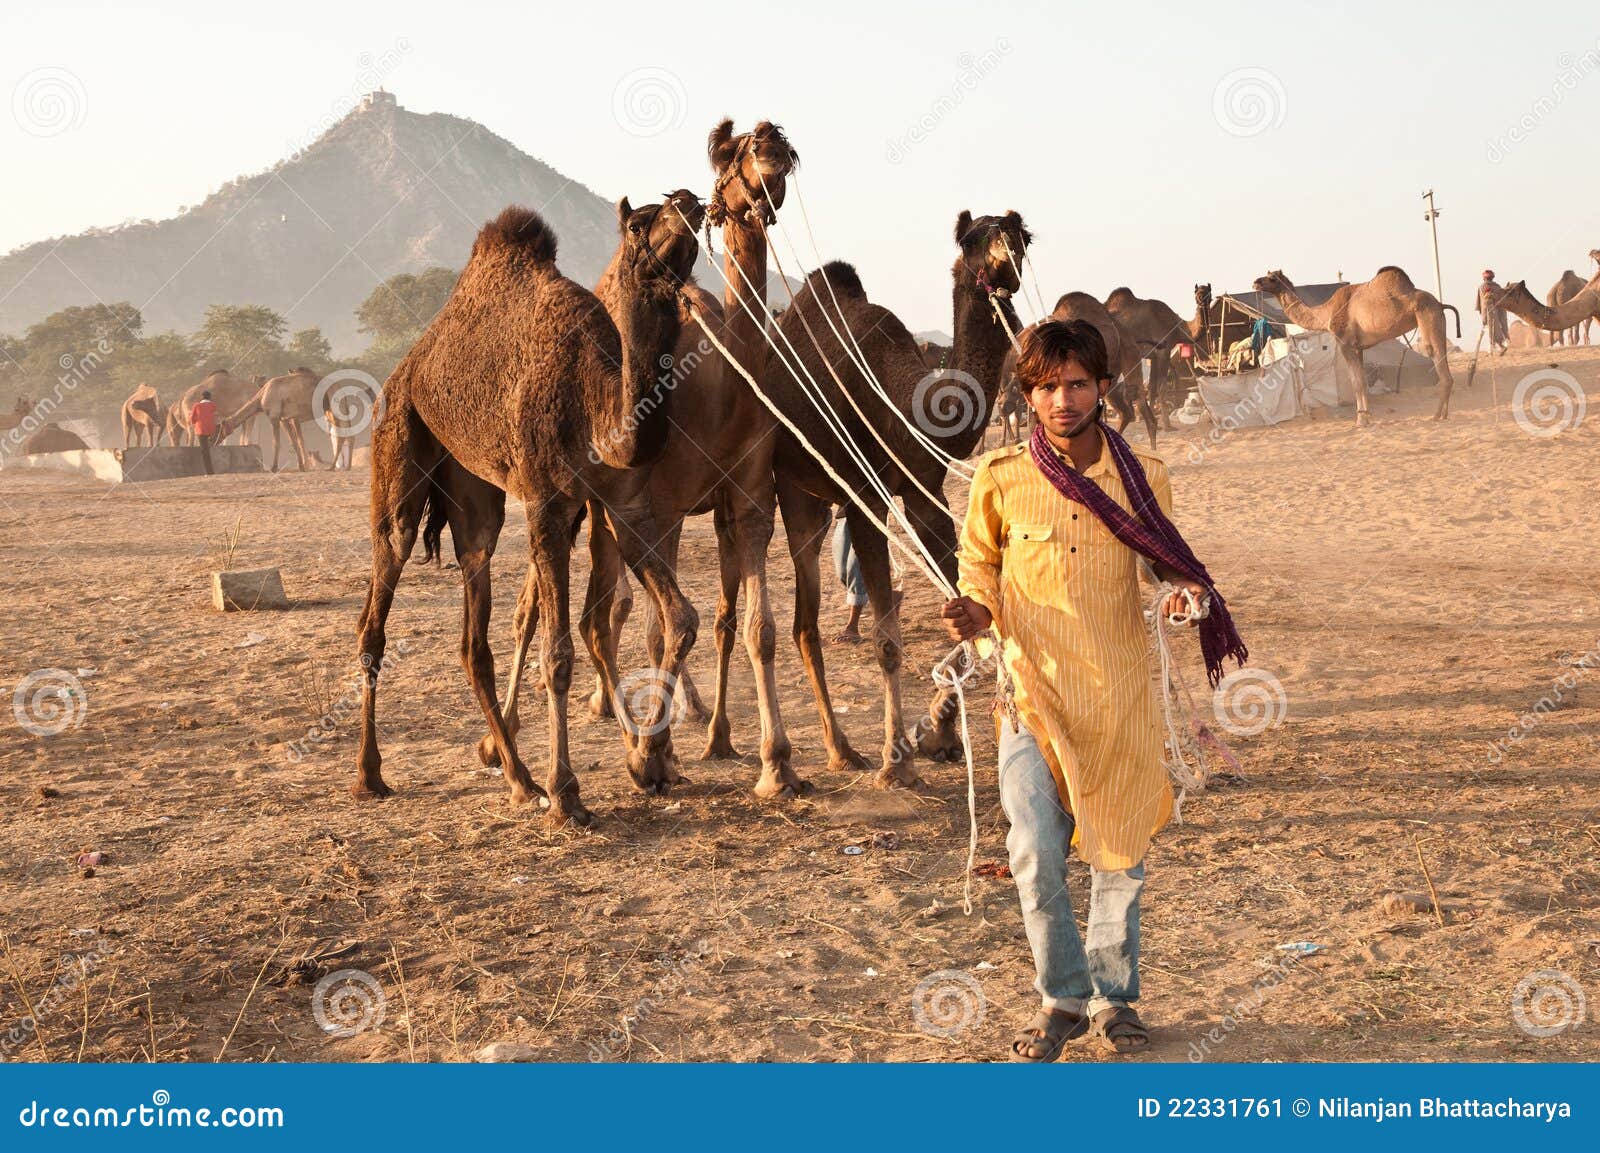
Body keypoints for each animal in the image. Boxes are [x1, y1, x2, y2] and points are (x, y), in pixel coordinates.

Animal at [354, 192, 705, 825]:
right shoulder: (547, 503)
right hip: (399, 445)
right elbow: (557, 653)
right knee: (379, 602)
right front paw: (568, 794)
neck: (600, 404)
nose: (690, 202)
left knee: (473, 624)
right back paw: (371, 774)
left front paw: (649, 761)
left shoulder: (617, 507)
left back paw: (519, 779)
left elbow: (681, 618)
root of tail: (408, 368)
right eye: (639, 222)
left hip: (475, 498)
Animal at [756, 209, 1032, 786]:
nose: (1006, 260)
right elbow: (887, 639)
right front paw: (897, 762)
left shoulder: (926, 493)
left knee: (803, 626)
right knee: (798, 621)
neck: (905, 401)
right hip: (792, 489)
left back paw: (841, 750)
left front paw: (939, 732)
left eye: (1023, 236)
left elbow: (967, 610)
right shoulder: (867, 497)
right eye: (972, 239)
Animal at [1105, 287, 1206, 431]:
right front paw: (1168, 426)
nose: (1202, 298)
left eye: (1208, 289)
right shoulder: (1164, 350)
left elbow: (1152, 388)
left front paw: (1155, 424)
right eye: (1197, 293)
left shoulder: (1153, 356)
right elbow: (1161, 387)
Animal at [1252, 267, 1460, 424]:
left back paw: (1436, 415)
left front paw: (1360, 421)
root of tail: (1440, 304)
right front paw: (1366, 417)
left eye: (1272, 278)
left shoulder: (1344, 343)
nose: (1255, 282)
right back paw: (1444, 414)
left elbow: (1356, 383)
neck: (1327, 312)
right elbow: (1363, 382)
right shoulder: (1359, 347)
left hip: (1427, 316)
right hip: (1438, 321)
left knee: (1437, 360)